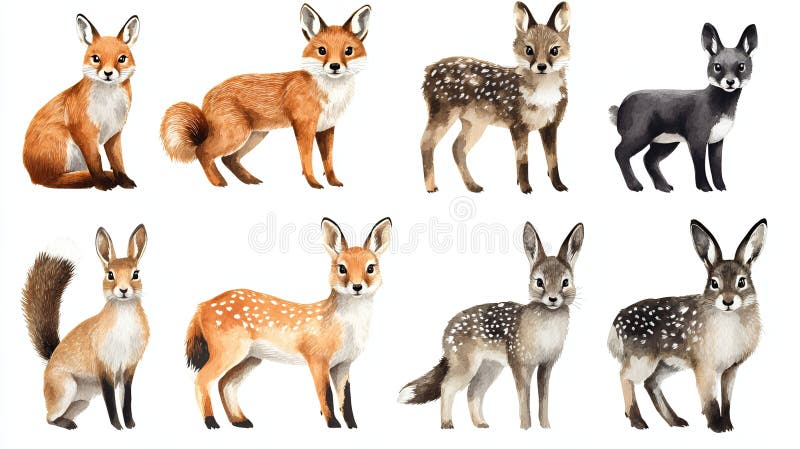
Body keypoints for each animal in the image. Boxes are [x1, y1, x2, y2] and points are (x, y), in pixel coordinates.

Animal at [21, 225, 149, 429]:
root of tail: (51, 359)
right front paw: (118, 427)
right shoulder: (105, 369)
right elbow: (111, 404)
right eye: (110, 275)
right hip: (67, 389)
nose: (123, 290)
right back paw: (67, 425)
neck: (124, 328)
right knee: (48, 418)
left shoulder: (128, 369)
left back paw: (69, 421)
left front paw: (130, 425)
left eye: (135, 274)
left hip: (82, 402)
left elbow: (126, 401)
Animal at [23, 14, 140, 190]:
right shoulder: (85, 132)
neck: (109, 106)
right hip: (63, 143)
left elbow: (117, 161)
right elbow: (96, 160)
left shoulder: (114, 133)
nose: (108, 73)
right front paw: (102, 183)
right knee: (54, 181)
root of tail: (33, 176)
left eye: (122, 59)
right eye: (96, 58)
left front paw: (124, 181)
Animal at [161, 4, 371, 188]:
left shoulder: (327, 128)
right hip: (236, 134)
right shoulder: (304, 127)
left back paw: (249, 180)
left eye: (348, 51)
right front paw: (313, 184)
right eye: (322, 50)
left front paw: (333, 182)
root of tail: (207, 98)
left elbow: (329, 163)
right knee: (202, 152)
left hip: (255, 135)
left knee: (229, 159)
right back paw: (219, 183)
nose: (335, 66)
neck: (329, 92)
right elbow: (307, 160)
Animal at [185, 217, 391, 429]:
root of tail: (202, 306)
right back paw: (211, 422)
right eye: (342, 268)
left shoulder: (343, 364)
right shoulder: (317, 360)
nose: (357, 286)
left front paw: (352, 427)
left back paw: (239, 420)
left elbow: (346, 401)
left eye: (370, 268)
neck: (346, 329)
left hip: (250, 358)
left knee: (224, 384)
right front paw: (333, 424)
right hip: (230, 352)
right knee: (201, 380)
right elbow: (326, 397)